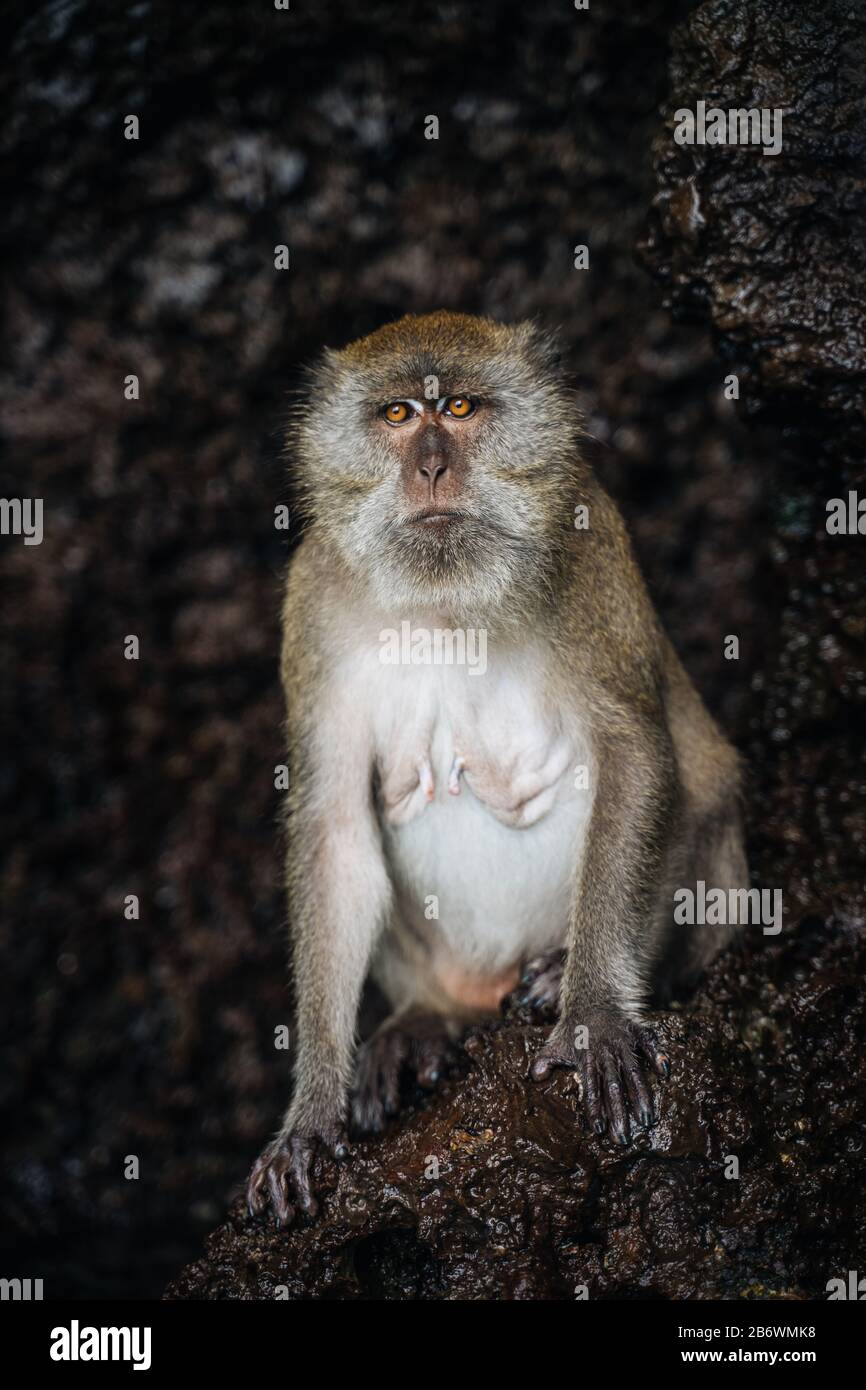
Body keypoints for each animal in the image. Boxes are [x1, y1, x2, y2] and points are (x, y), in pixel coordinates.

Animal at [246, 311, 748, 1226]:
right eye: (399, 414)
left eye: (463, 408)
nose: (432, 466)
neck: (447, 602)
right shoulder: (314, 601)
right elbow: (334, 831)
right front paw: (310, 1113)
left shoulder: (589, 549)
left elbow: (635, 753)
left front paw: (592, 1014)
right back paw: (428, 1020)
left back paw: (557, 974)